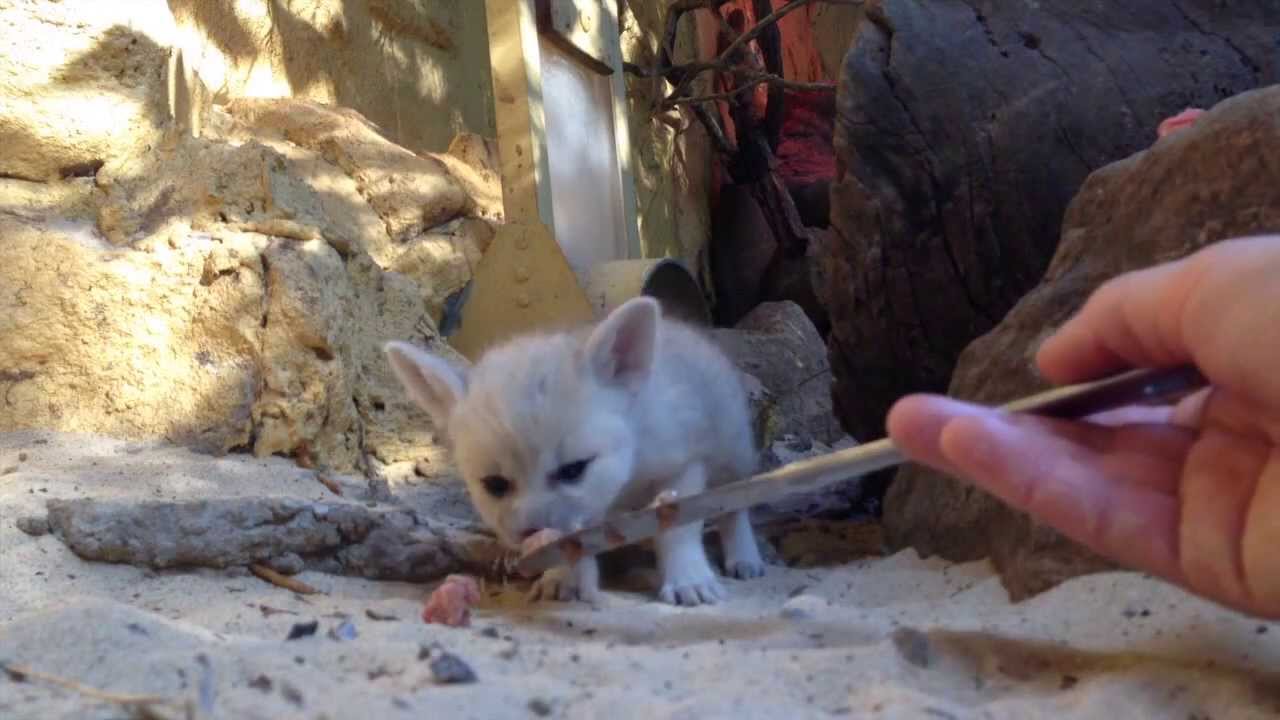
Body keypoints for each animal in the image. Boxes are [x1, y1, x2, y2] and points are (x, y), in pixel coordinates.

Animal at [383, 296, 764, 606]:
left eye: (573, 470)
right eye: (494, 484)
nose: (533, 533)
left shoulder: (683, 465)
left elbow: (678, 529)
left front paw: (688, 579)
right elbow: (574, 543)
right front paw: (564, 578)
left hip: (733, 453)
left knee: (735, 507)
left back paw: (744, 556)